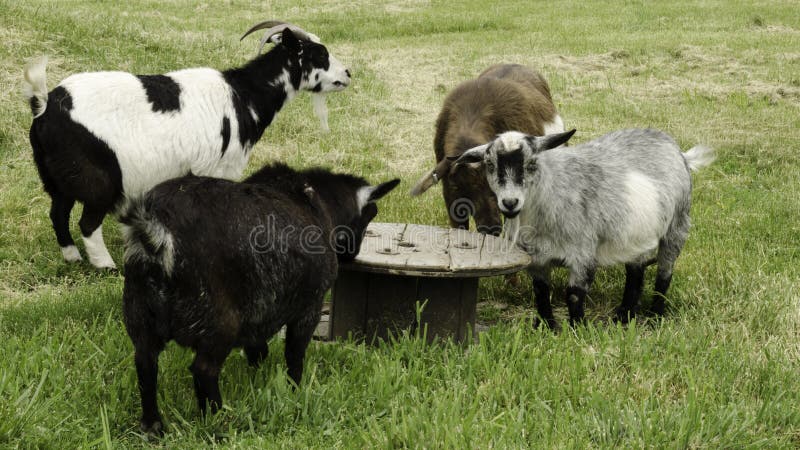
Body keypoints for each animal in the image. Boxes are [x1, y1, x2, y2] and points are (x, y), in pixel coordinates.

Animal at [23, 21, 351, 269]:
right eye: (320, 54)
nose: (348, 74)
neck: (243, 95)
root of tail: (45, 106)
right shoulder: (218, 169)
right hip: (98, 176)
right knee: (88, 223)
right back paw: (106, 266)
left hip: (57, 176)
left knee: (58, 213)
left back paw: (72, 258)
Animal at [121, 162, 399, 434]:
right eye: (370, 215)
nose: (353, 255)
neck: (315, 201)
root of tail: (158, 236)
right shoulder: (309, 307)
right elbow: (294, 355)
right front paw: (295, 390)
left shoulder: (258, 313)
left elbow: (258, 351)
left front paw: (256, 378)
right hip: (218, 323)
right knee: (204, 370)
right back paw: (217, 420)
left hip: (140, 316)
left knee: (145, 363)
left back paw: (153, 425)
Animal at [454, 128, 715, 327]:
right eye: (489, 164)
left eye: (531, 163)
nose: (510, 203)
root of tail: (678, 151)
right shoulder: (536, 258)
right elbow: (540, 291)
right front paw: (548, 326)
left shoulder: (583, 252)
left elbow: (573, 295)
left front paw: (577, 329)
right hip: (635, 233)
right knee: (636, 270)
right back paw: (624, 315)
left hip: (678, 224)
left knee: (664, 272)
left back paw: (655, 315)